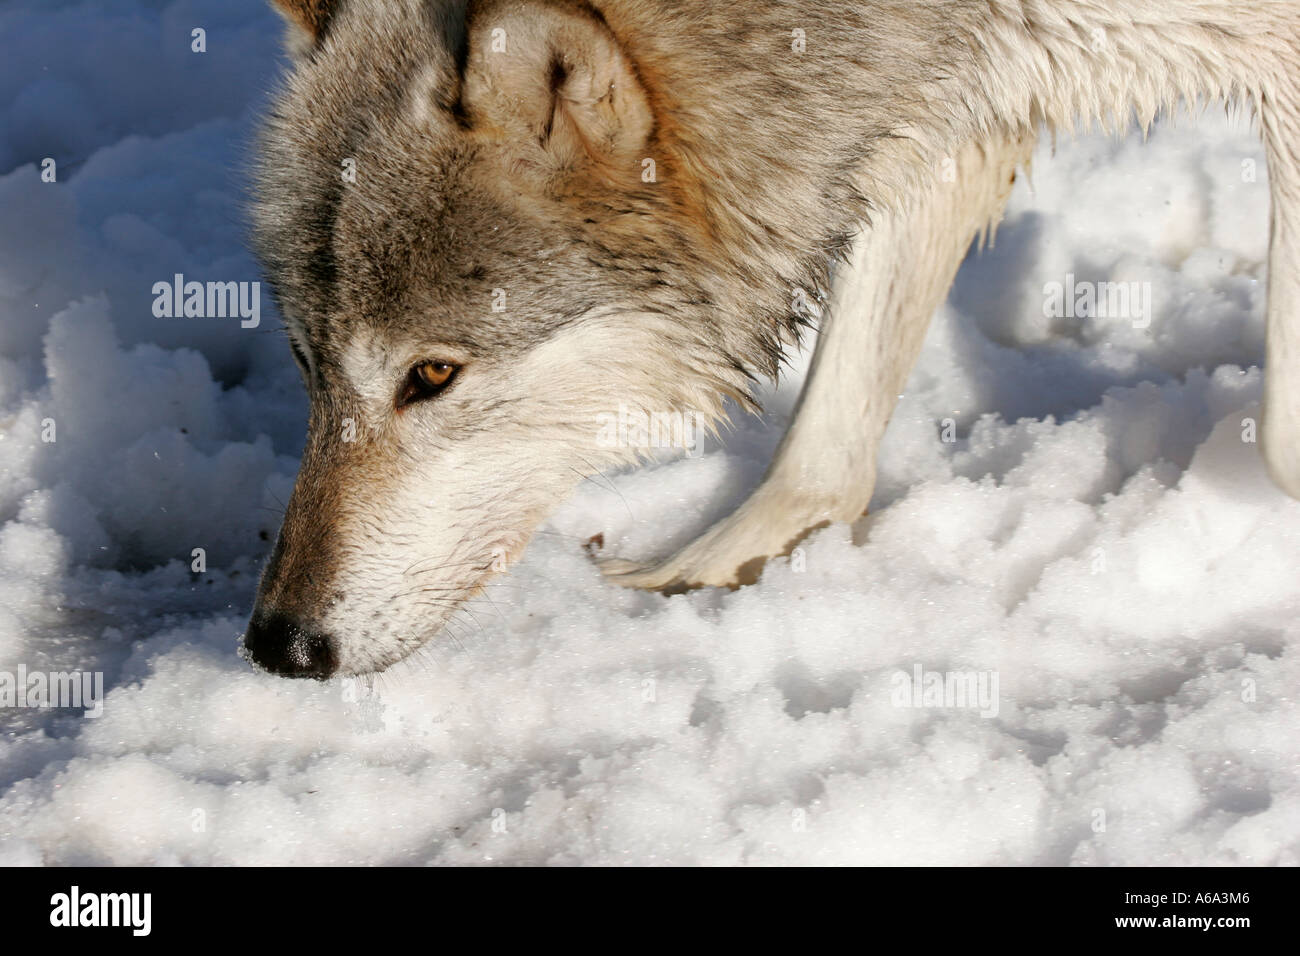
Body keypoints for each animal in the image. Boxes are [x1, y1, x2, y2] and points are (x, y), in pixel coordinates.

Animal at [245, 0, 1300, 677]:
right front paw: (706, 577)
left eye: (431, 374)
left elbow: (1283, 447)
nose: (277, 645)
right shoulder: (948, 99)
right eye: (306, 363)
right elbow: (826, 450)